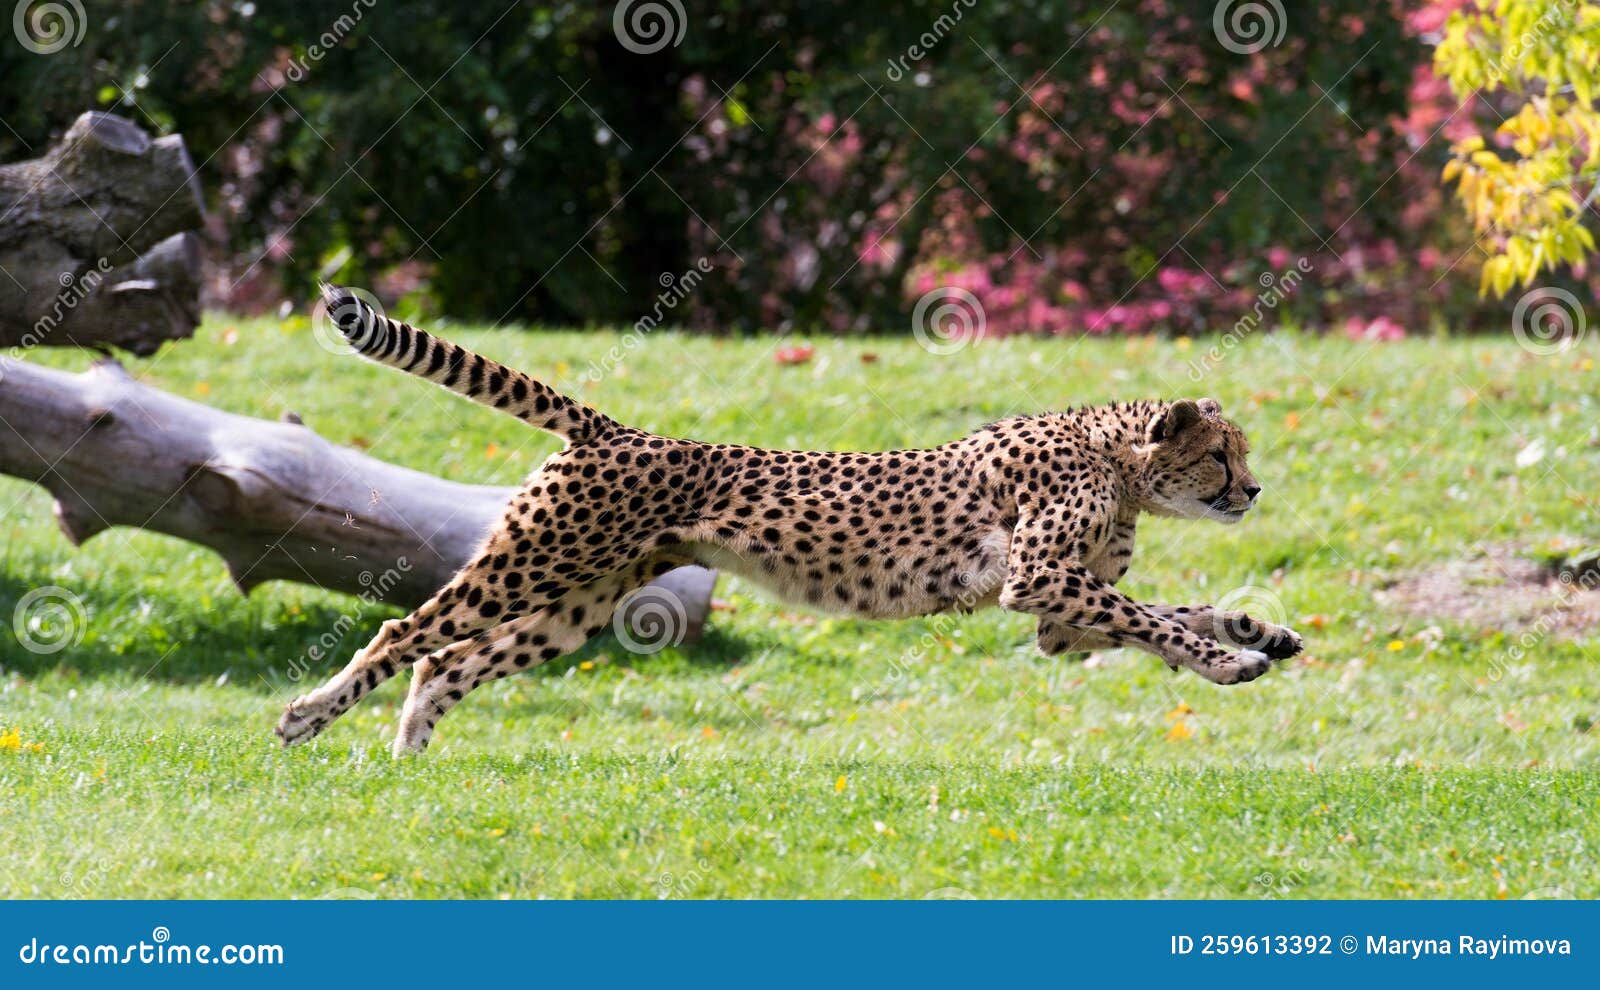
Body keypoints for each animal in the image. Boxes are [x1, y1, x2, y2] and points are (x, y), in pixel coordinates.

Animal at [275, 285, 1303, 756]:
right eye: (1223, 455)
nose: (1252, 492)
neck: (1119, 460)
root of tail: (619, 429)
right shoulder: (1039, 578)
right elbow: (1156, 618)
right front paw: (1231, 661)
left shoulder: (1057, 615)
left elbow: (1166, 613)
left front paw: (1258, 633)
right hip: (534, 562)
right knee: (405, 632)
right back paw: (307, 717)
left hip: (583, 599)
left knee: (449, 662)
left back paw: (412, 764)